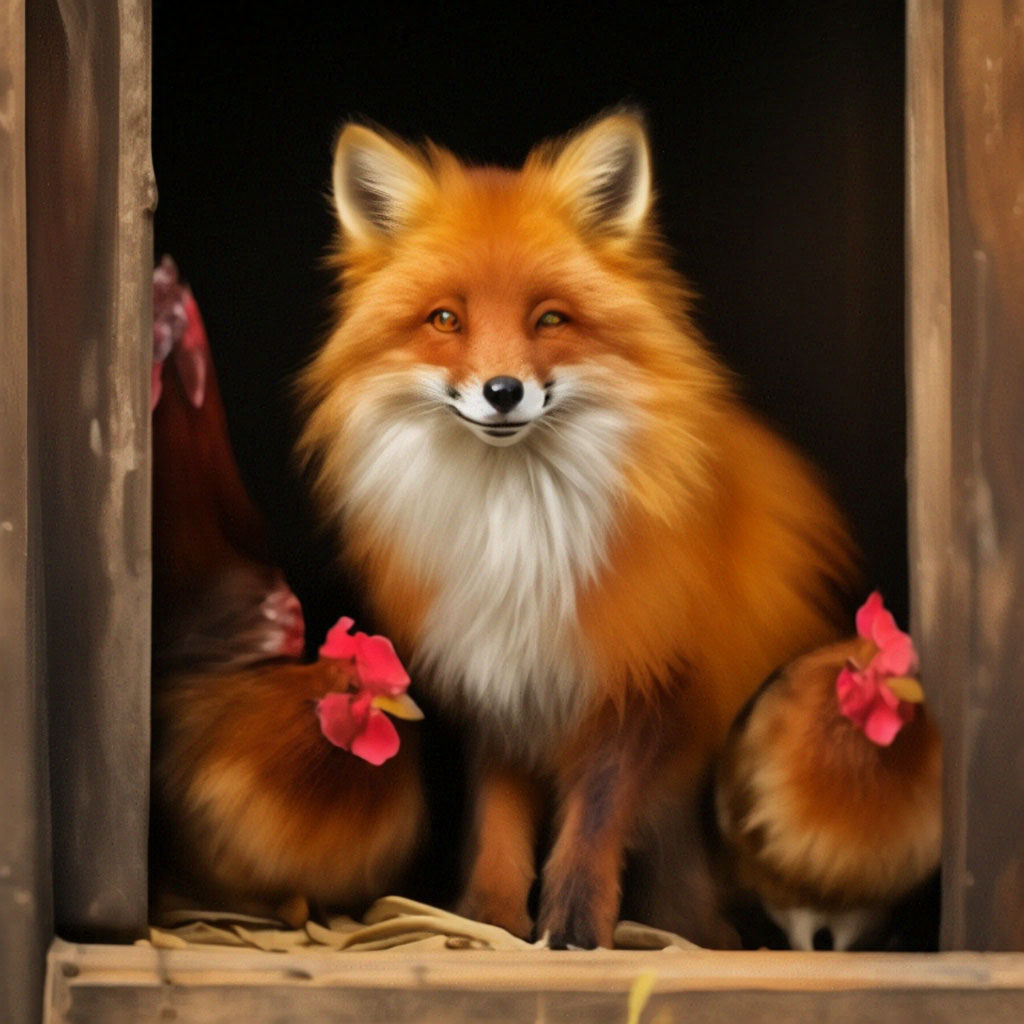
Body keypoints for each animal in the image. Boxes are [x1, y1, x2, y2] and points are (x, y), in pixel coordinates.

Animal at [298, 109, 859, 949]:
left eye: (550, 319)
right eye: (445, 320)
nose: (502, 391)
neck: (520, 525)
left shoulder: (642, 676)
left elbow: (593, 821)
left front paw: (575, 928)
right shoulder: (498, 679)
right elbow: (498, 824)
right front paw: (490, 920)